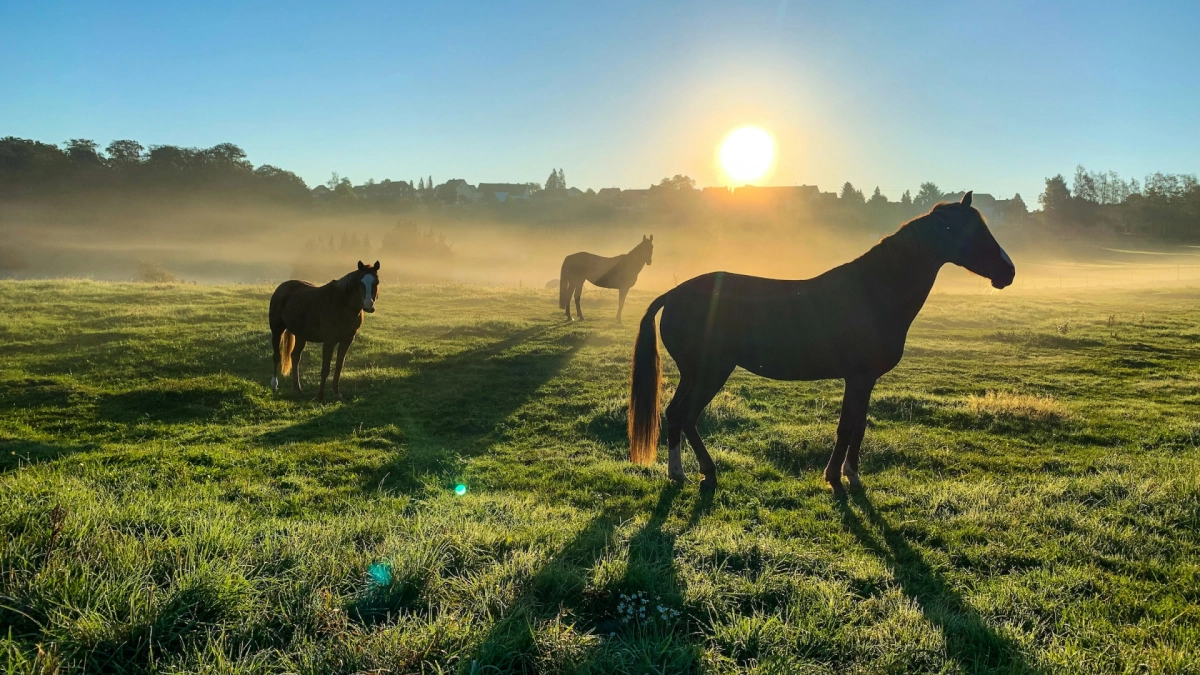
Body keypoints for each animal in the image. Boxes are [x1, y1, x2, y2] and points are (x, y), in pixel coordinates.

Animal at [269, 260, 380, 403]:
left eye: (376, 282)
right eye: (360, 282)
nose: (368, 305)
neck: (342, 305)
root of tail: (281, 288)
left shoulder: (347, 340)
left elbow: (339, 366)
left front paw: (336, 393)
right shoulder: (329, 341)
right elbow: (325, 368)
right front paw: (320, 396)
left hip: (301, 336)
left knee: (295, 357)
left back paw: (297, 388)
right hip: (277, 330)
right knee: (276, 356)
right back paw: (274, 385)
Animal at [627, 193, 1015, 495]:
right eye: (973, 231)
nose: (1008, 272)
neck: (872, 292)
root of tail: (674, 294)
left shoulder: (864, 380)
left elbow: (858, 425)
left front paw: (850, 474)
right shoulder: (858, 378)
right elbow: (847, 427)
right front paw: (838, 477)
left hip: (695, 373)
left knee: (675, 414)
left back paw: (680, 472)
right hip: (710, 372)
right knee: (686, 415)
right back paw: (703, 472)